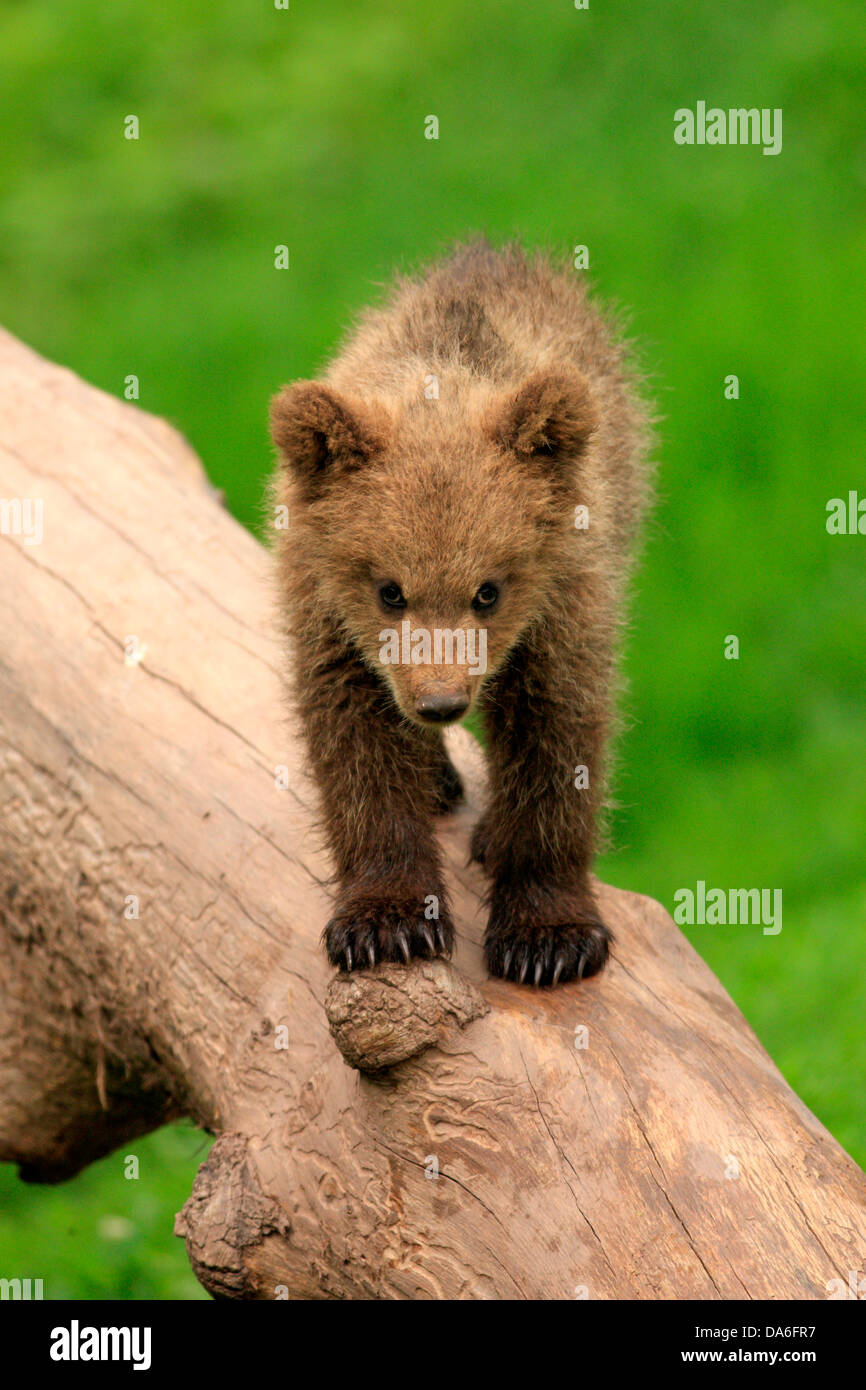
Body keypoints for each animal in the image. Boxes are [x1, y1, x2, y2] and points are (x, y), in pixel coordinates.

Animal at [269, 239, 652, 987]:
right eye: (390, 590)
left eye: (489, 590)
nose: (442, 702)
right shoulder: (330, 617)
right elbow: (357, 751)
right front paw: (388, 922)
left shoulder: (562, 606)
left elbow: (556, 740)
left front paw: (547, 937)